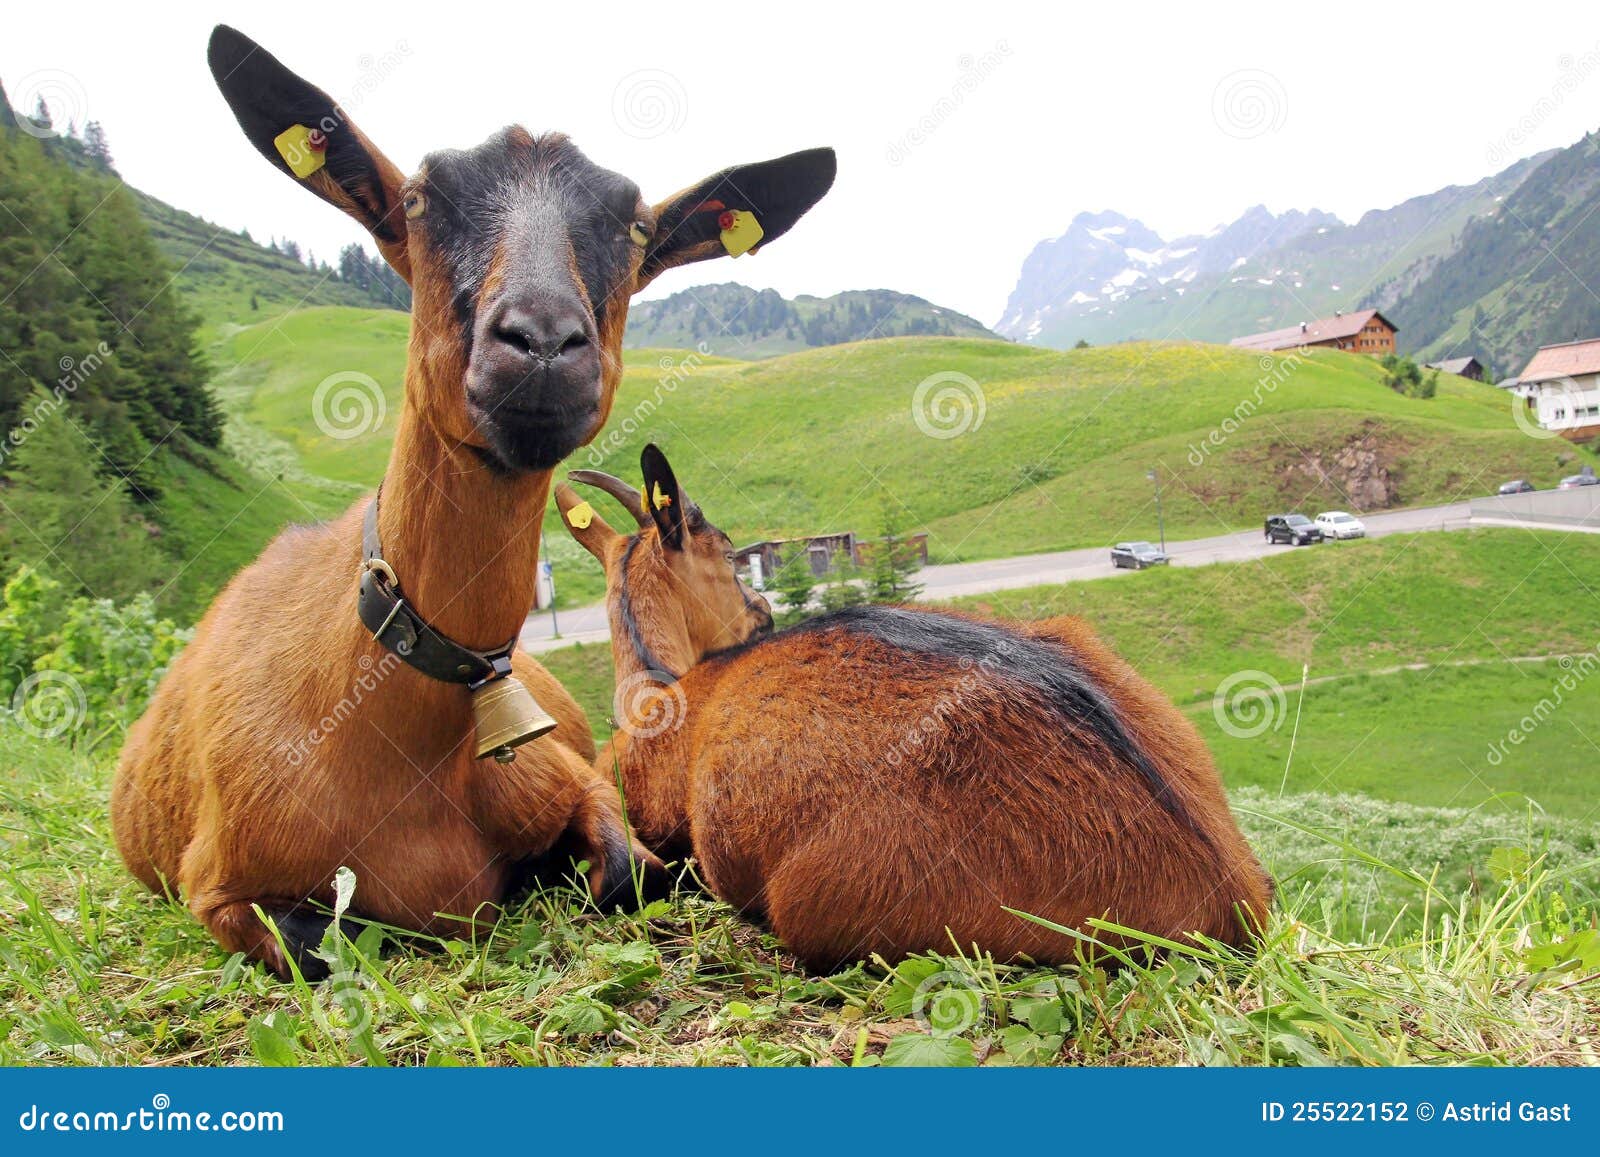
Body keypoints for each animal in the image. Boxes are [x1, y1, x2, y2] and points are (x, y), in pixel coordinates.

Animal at [111, 27, 835, 978]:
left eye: (637, 226)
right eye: (420, 199)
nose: (542, 342)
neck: (395, 726)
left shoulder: (580, 779)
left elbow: (627, 870)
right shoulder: (220, 888)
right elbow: (321, 945)